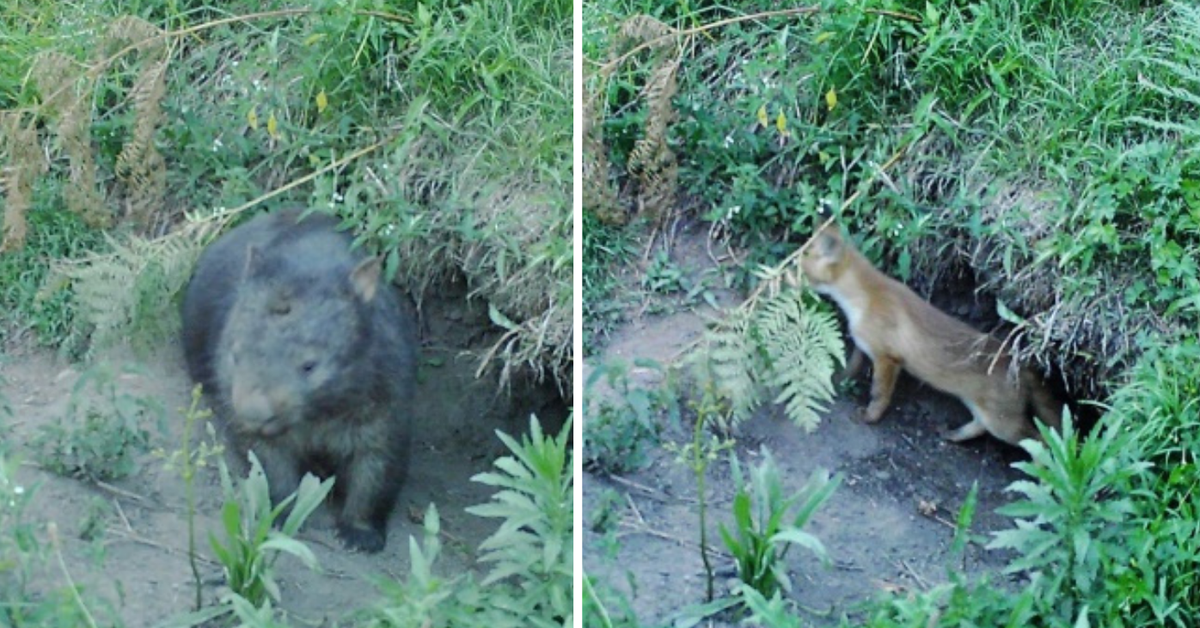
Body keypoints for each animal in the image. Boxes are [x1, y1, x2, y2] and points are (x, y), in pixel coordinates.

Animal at [799, 222, 1063, 446]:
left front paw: (869, 417)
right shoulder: (864, 346)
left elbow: (879, 395)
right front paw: (835, 382)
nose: (785, 277)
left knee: (1040, 441)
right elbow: (850, 369)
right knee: (980, 427)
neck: (864, 300)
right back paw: (953, 435)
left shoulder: (888, 359)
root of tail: (1021, 360)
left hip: (1004, 423)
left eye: (797, 270)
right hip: (983, 411)